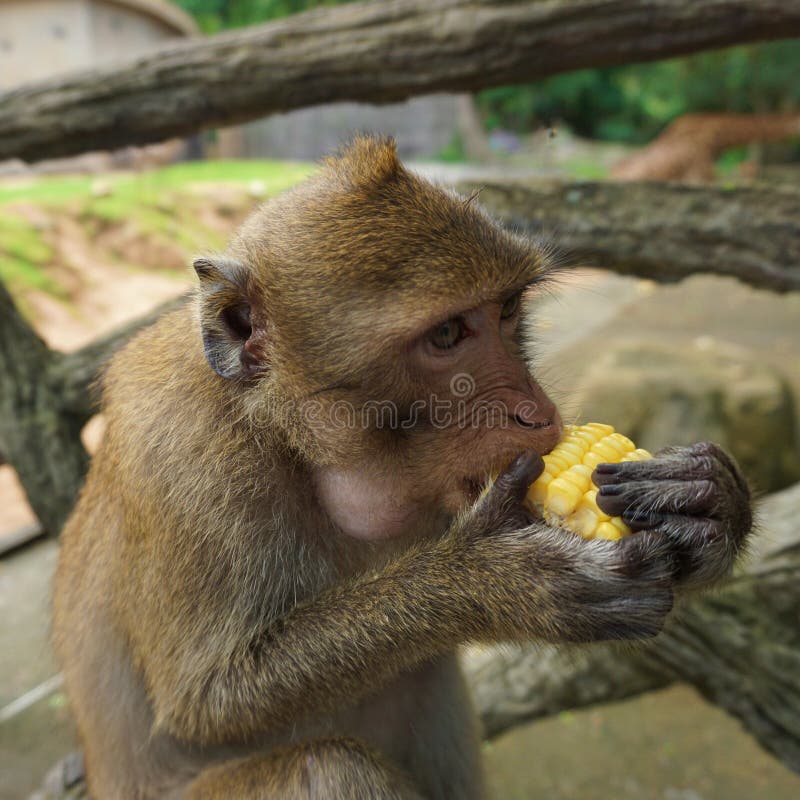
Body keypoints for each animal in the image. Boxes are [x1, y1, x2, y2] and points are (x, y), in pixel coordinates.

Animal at [52, 136, 752, 800]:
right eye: (446, 335)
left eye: (505, 311)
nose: (536, 413)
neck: (291, 441)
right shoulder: (183, 459)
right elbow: (206, 702)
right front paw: (501, 583)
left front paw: (709, 504)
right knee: (328, 769)